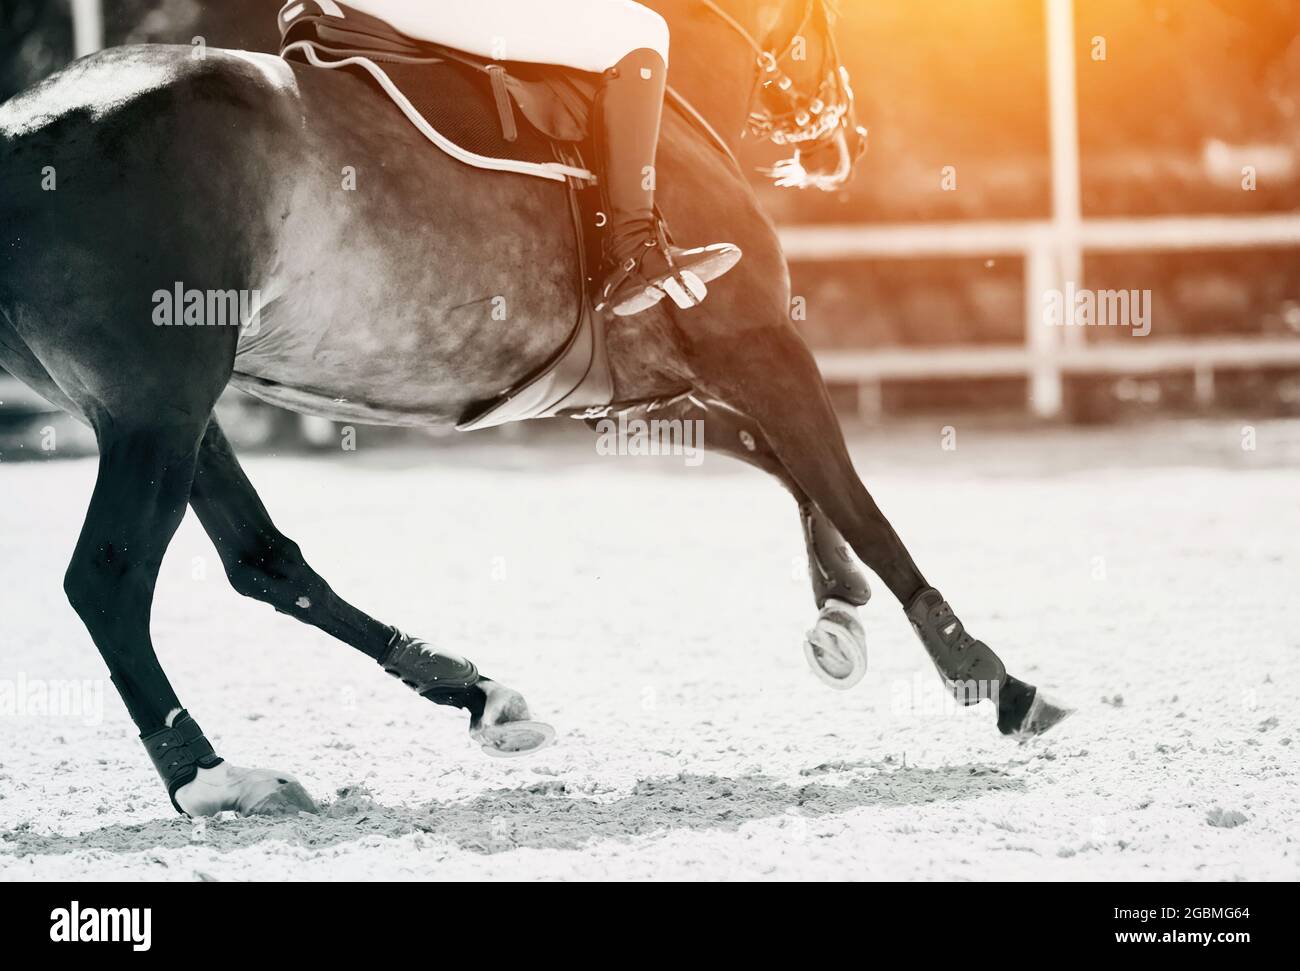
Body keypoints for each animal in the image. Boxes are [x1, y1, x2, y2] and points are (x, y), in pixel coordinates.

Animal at [0, 0, 1070, 816]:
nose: (842, 141)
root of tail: (18, 131)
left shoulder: (624, 393)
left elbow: (787, 466)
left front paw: (838, 606)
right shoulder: (757, 342)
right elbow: (855, 496)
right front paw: (991, 674)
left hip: (180, 409)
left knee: (264, 561)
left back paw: (476, 692)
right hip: (158, 407)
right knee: (108, 580)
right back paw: (217, 777)